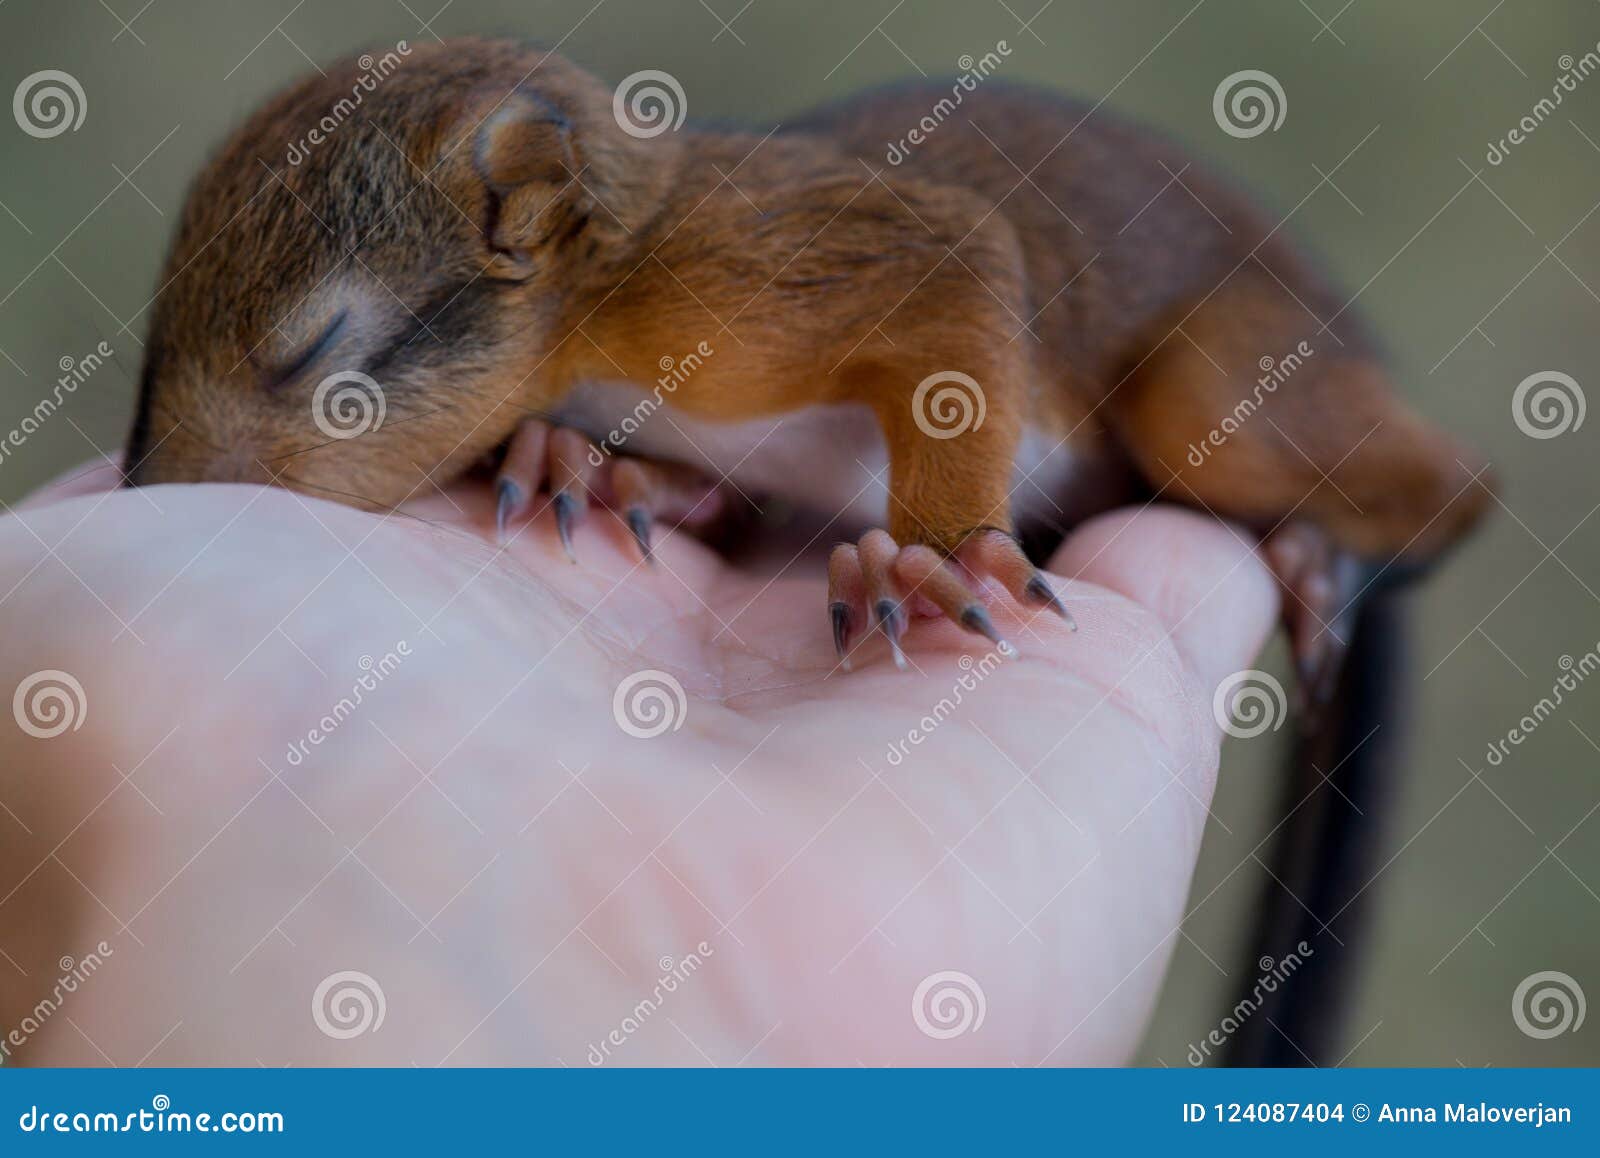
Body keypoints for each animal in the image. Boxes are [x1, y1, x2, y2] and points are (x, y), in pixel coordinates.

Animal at [123, 39, 1493, 1062]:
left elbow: (956, 257)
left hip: (1227, 392)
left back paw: (1330, 557)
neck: (597, 303)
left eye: (313, 350)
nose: (146, 486)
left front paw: (929, 560)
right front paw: (587, 467)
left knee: (1449, 495)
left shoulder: (748, 271)